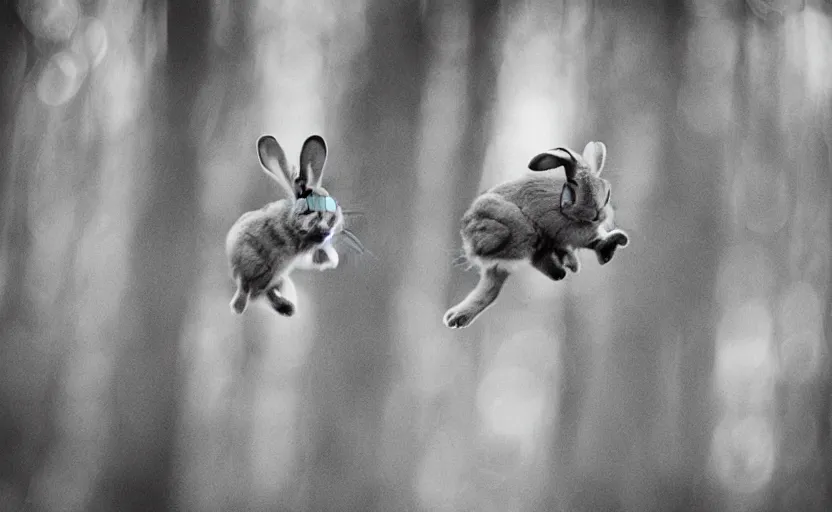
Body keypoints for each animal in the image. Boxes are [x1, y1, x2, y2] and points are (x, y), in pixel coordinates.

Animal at [443, 141, 629, 329]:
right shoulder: (564, 227)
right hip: (508, 232)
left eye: (606, 191)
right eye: (575, 189)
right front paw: (609, 245)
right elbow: (588, 237)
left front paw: (610, 246)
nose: (598, 215)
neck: (562, 202)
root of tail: (467, 236)